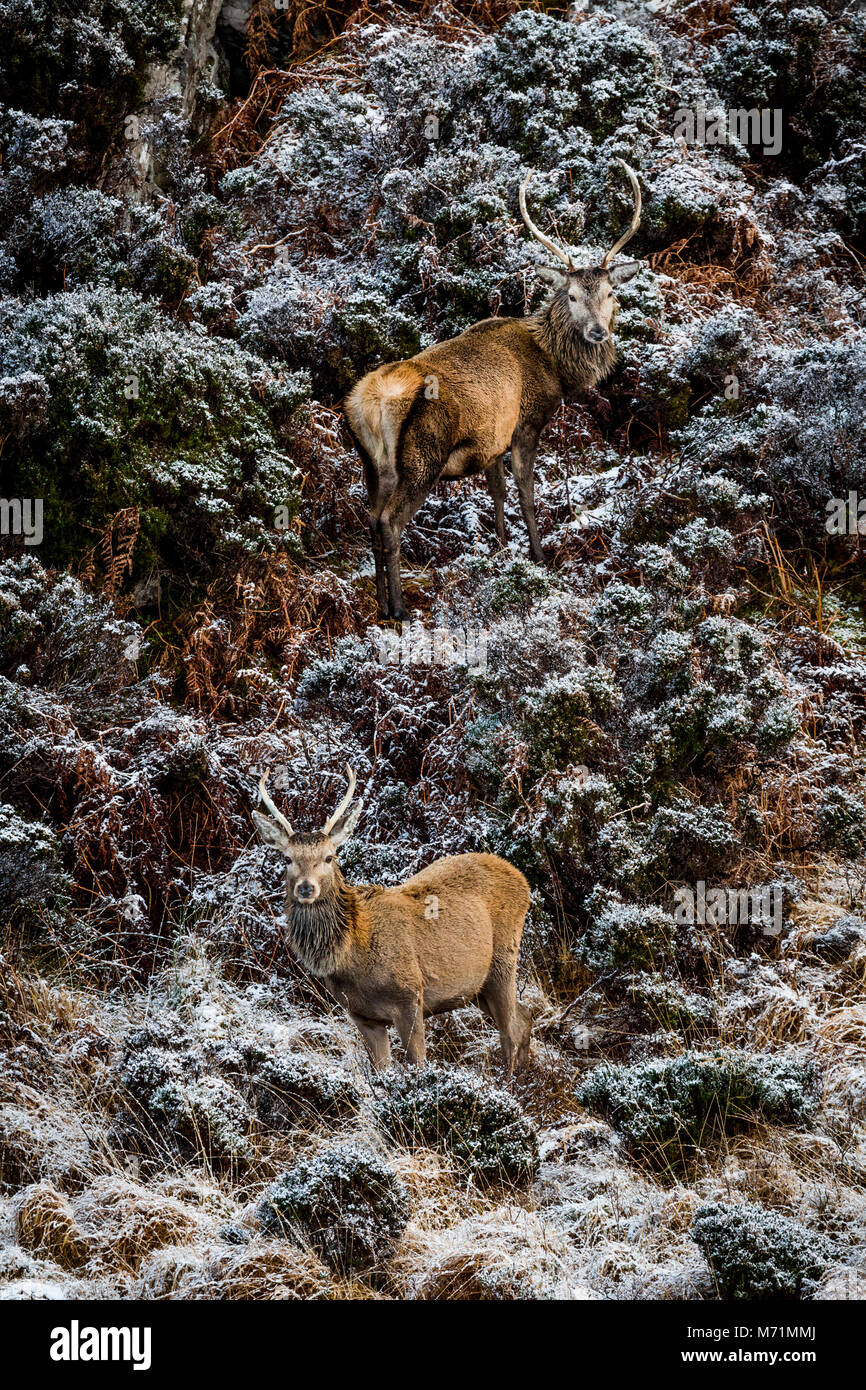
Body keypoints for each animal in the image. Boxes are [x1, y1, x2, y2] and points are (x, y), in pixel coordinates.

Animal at [252, 765, 533, 1071]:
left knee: (509, 1031)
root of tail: (521, 878)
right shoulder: (362, 1015)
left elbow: (419, 1065)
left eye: (329, 857)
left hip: (504, 959)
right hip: (476, 987)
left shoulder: (410, 997)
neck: (354, 954)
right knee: (524, 1018)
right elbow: (381, 1072)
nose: (305, 887)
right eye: (287, 858)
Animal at [344, 160, 642, 619]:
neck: (554, 365)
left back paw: (378, 604)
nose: (597, 332)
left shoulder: (490, 440)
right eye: (571, 295)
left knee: (370, 520)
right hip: (421, 459)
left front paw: (502, 549)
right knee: (388, 523)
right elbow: (525, 491)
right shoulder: (527, 421)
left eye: (610, 292)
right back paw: (399, 609)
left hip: (371, 465)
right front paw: (538, 557)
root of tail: (370, 404)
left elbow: (497, 491)